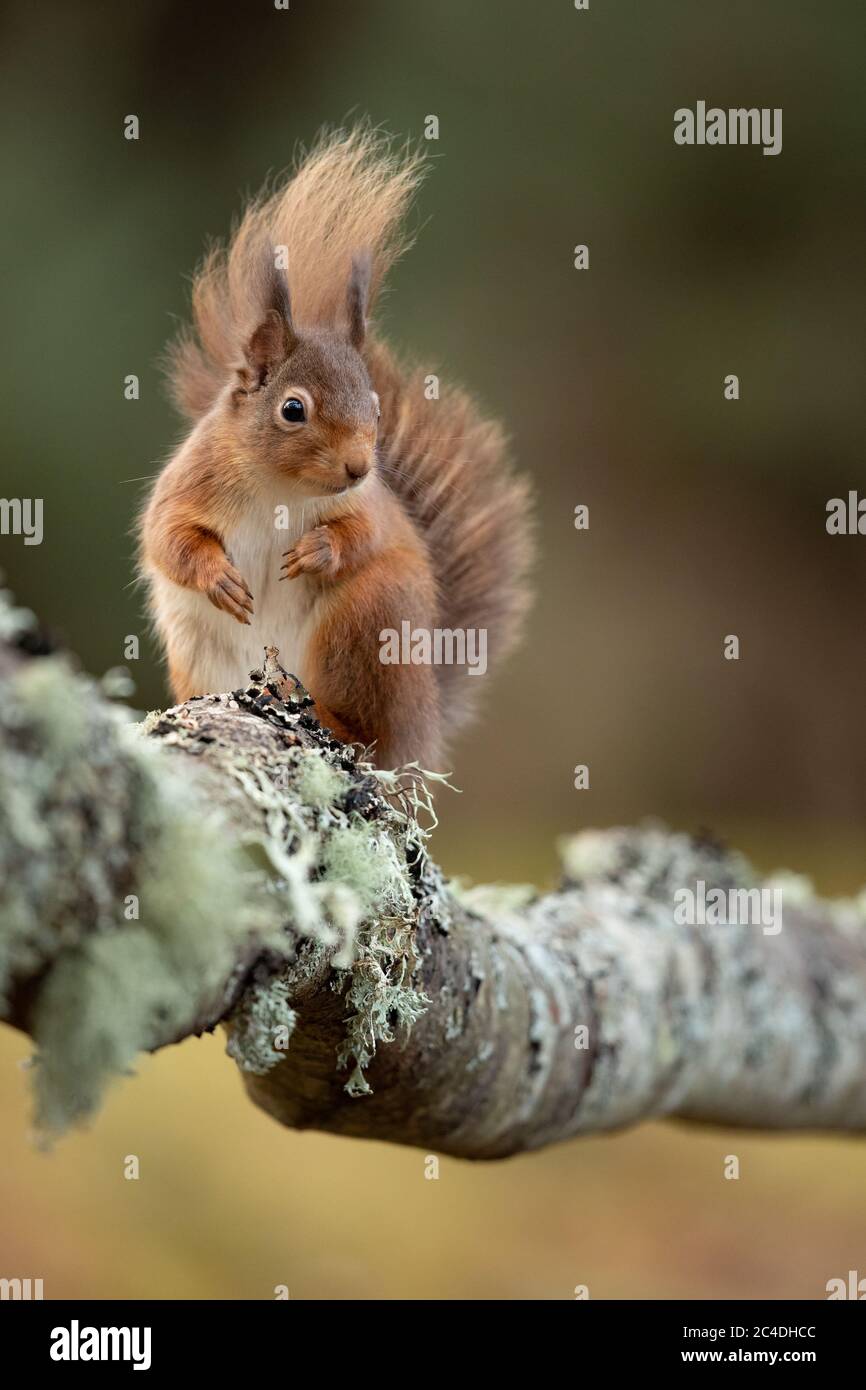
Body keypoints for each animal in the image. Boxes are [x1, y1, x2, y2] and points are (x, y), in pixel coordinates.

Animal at [140, 128, 532, 770]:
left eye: (374, 407)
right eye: (292, 409)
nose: (357, 467)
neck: (280, 488)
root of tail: (423, 731)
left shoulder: (371, 505)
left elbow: (367, 533)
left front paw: (318, 550)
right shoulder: (191, 483)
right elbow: (168, 538)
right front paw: (219, 577)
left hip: (369, 616)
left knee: (368, 728)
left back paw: (330, 721)